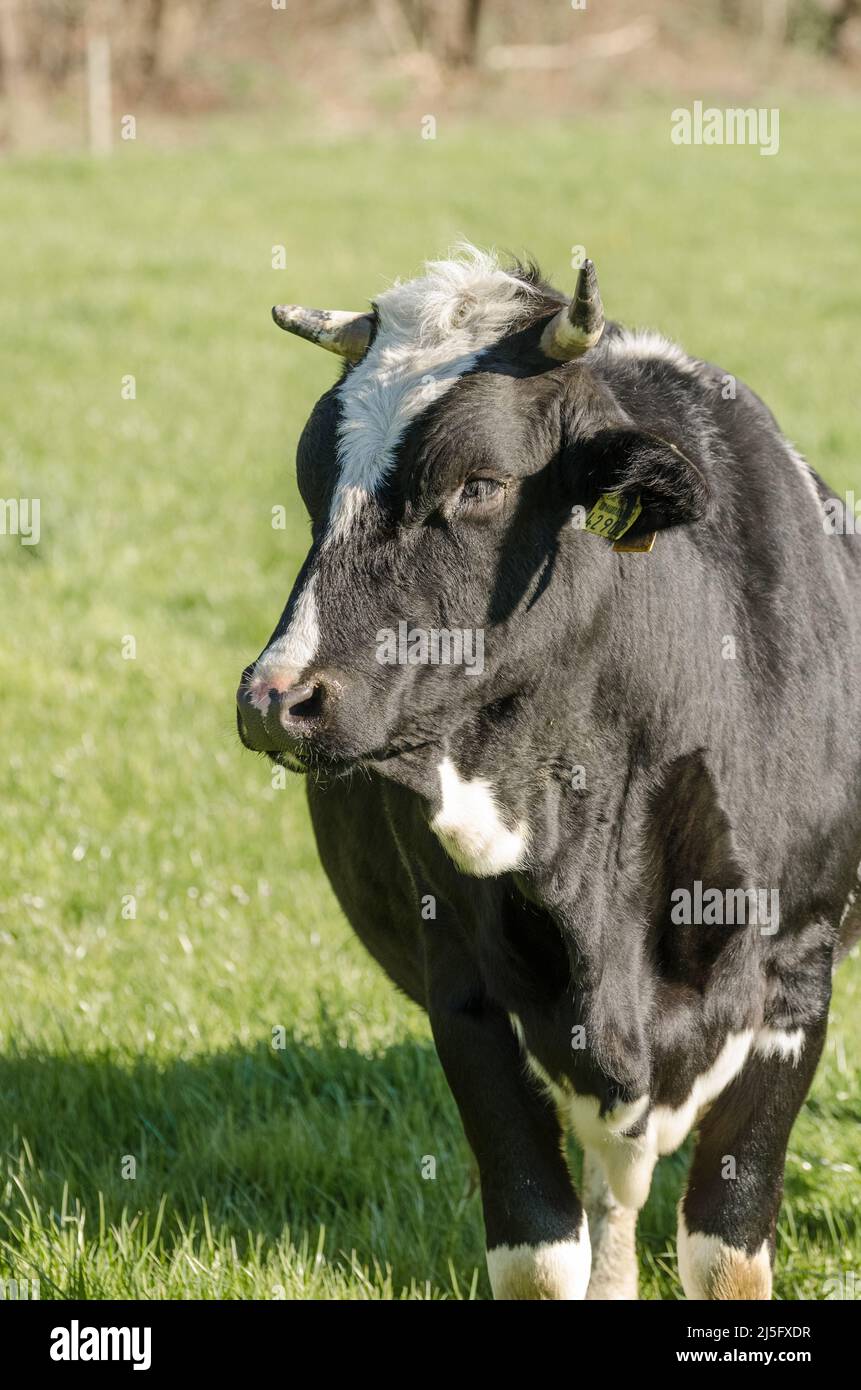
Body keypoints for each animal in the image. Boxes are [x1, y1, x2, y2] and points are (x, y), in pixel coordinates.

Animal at [236, 246, 861, 1300]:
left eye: (480, 482)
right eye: (314, 483)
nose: (274, 698)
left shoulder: (793, 981)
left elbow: (726, 1253)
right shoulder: (465, 989)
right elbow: (540, 1256)